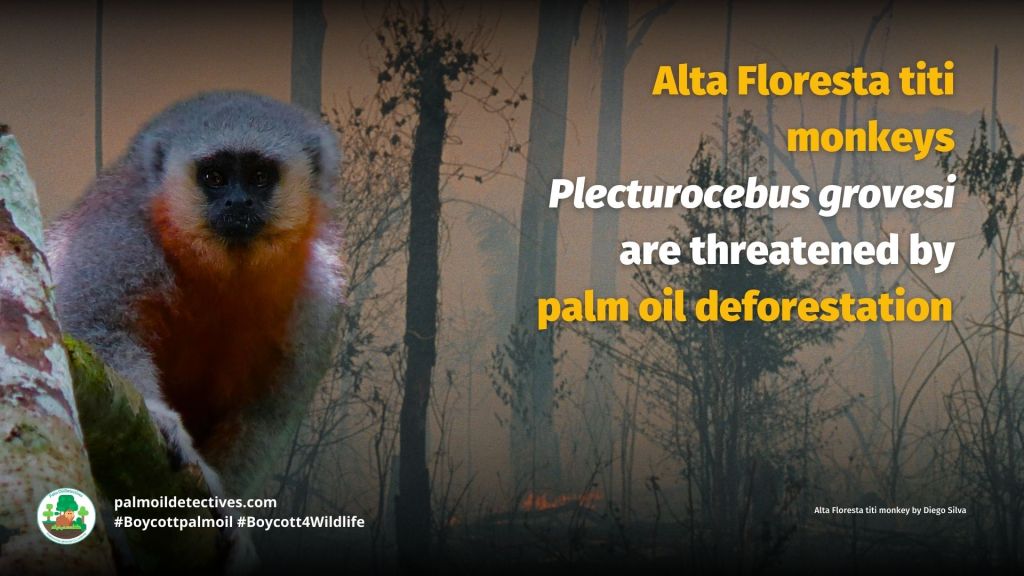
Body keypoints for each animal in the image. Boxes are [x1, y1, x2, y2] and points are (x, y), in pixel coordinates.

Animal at [44, 91, 343, 567]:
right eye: (214, 177)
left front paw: (233, 513)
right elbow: (92, 328)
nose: (237, 204)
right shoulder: (113, 239)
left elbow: (266, 412)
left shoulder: (320, 296)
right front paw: (164, 423)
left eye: (260, 176)